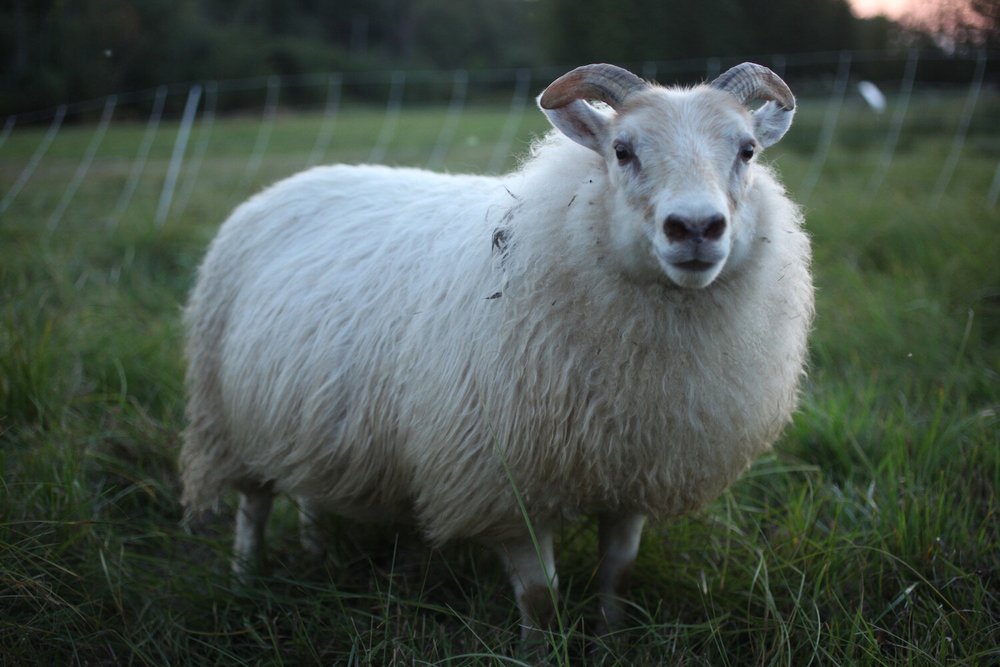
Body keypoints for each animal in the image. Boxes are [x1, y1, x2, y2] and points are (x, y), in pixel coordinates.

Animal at [179, 61, 814, 637]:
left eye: (748, 150)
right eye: (622, 150)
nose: (697, 228)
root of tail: (287, 183)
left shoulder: (637, 467)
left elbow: (617, 574)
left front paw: (610, 636)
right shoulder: (504, 486)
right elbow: (540, 599)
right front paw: (543, 649)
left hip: (308, 412)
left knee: (310, 486)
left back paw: (314, 553)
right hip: (226, 413)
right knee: (253, 505)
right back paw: (245, 578)